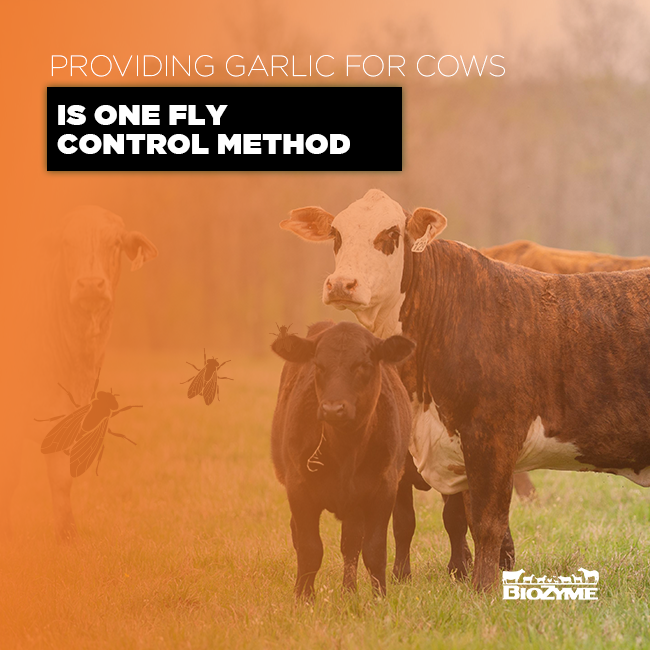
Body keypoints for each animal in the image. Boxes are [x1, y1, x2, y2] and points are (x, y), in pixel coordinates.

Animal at [0, 206, 157, 541]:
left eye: (115, 243)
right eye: (66, 243)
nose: (90, 284)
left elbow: (61, 479)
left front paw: (68, 537)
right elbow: (9, 477)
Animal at [271, 321, 415, 599]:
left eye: (362, 365)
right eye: (318, 365)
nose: (333, 409)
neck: (346, 450)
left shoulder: (384, 488)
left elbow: (373, 550)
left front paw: (379, 597)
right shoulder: (298, 487)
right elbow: (309, 548)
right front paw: (303, 598)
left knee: (351, 544)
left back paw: (349, 591)